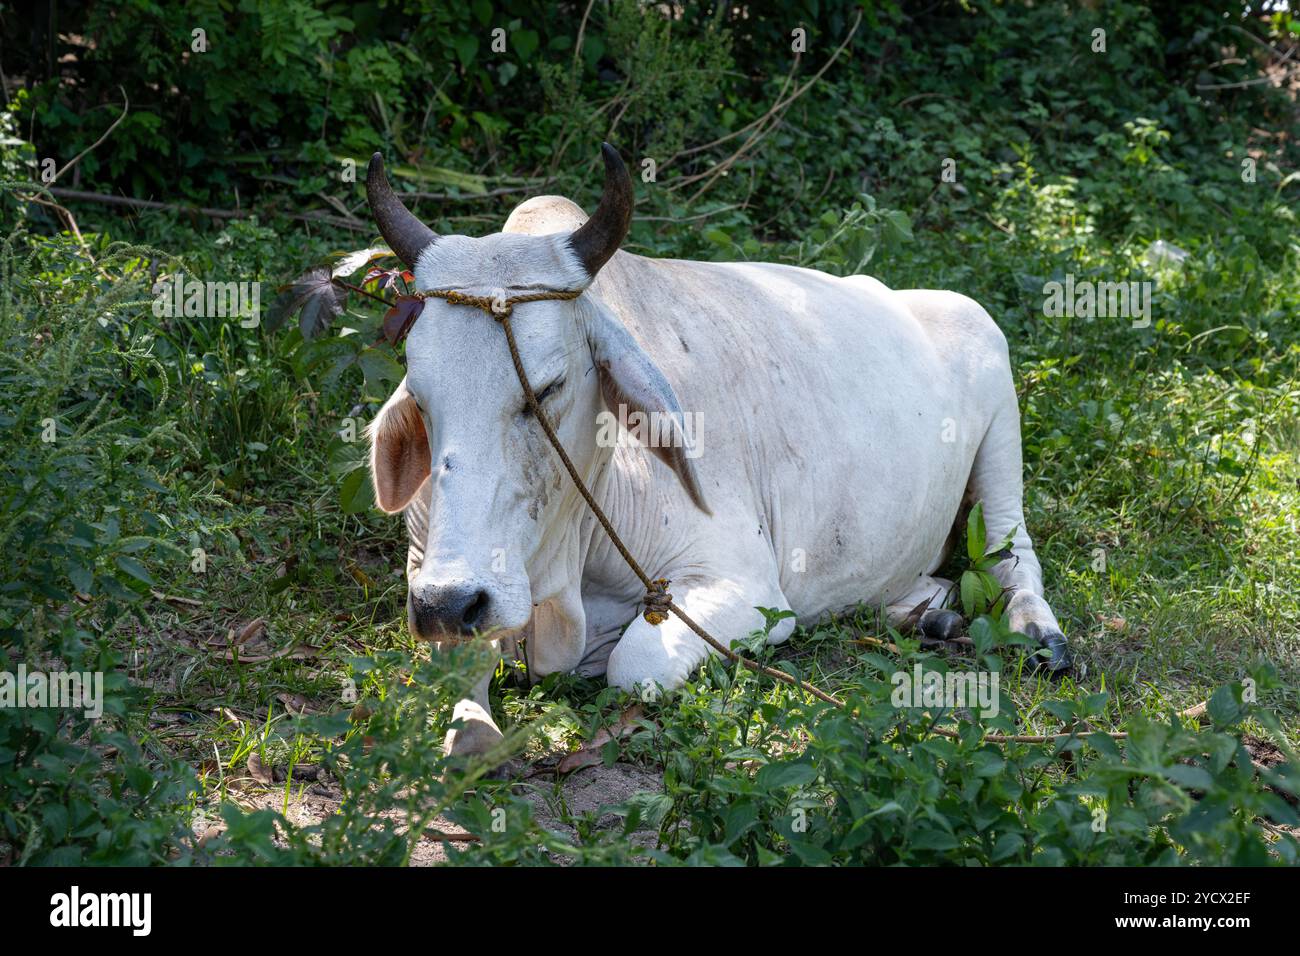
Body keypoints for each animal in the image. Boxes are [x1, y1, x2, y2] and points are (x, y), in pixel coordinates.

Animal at [365, 144, 1071, 755]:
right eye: (420, 395)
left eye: (549, 387)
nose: (450, 602)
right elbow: (461, 679)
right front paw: (473, 732)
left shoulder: (744, 585)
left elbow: (634, 665)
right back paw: (927, 613)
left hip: (1000, 419)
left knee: (1014, 554)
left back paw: (1039, 632)